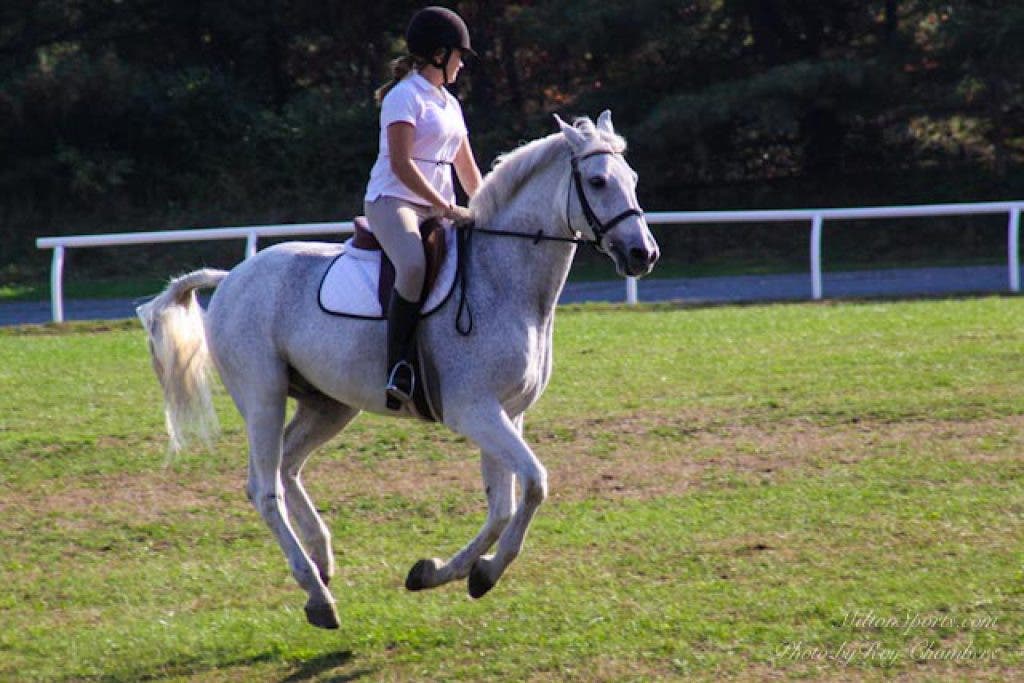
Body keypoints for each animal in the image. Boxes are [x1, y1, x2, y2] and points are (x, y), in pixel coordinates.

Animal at [137, 111, 660, 629]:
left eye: (633, 179)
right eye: (597, 181)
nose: (644, 254)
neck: (502, 281)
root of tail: (232, 278)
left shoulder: (508, 414)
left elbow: (502, 506)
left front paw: (442, 572)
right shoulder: (475, 411)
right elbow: (533, 485)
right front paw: (481, 574)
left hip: (329, 405)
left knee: (287, 466)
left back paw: (321, 564)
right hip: (263, 397)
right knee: (264, 489)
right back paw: (317, 594)